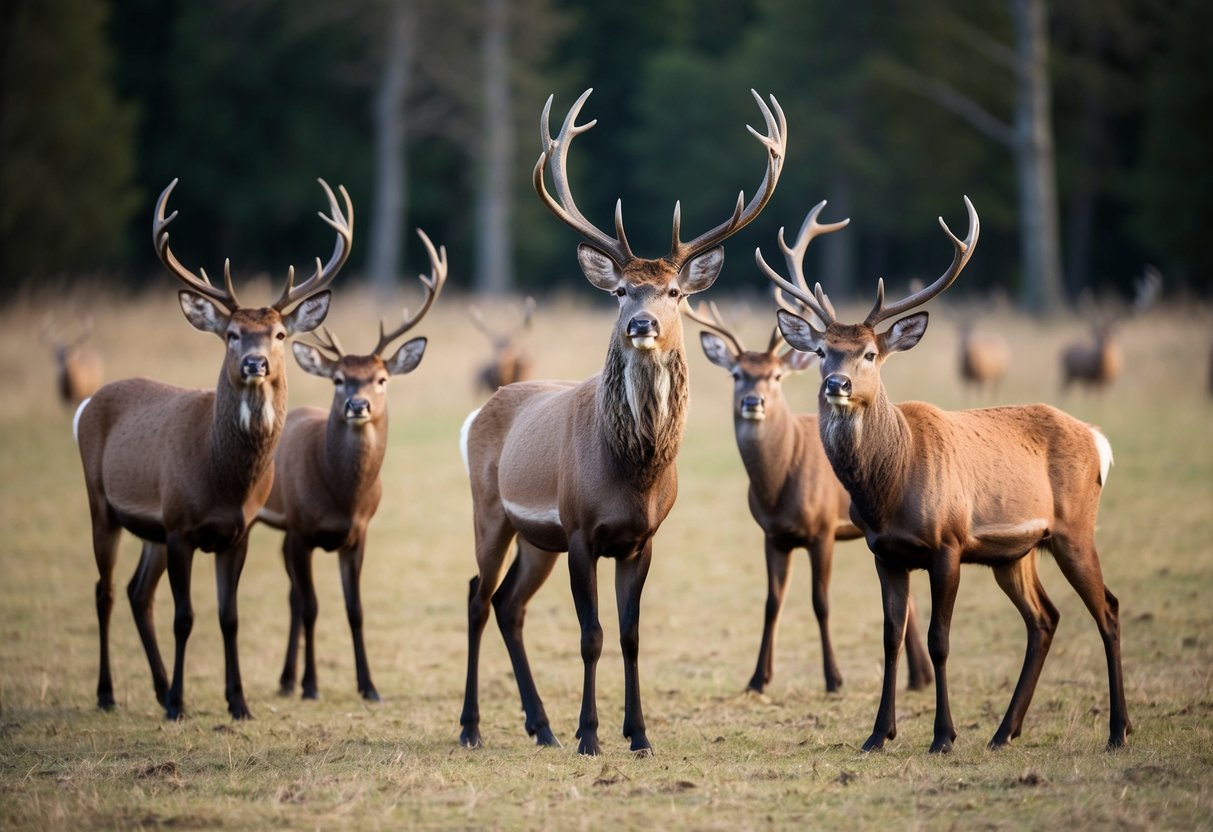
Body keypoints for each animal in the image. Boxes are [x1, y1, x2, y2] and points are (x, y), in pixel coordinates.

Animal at [75, 177, 352, 720]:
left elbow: (229, 616)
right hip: (102, 504)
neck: (222, 478)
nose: (254, 363)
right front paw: (180, 705)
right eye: (231, 333)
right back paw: (108, 693)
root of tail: (89, 401)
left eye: (280, 333)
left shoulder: (235, 532)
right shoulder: (181, 525)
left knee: (139, 593)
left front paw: (237, 702)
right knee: (106, 590)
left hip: (151, 531)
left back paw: (158, 687)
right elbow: (185, 617)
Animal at [256, 228, 445, 703]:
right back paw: (293, 681)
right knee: (296, 598)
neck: (341, 496)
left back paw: (285, 680)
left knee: (291, 595)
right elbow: (312, 606)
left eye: (382, 378)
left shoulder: (358, 534)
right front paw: (311, 685)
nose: (357, 406)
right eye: (338, 379)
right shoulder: (301, 528)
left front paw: (369, 687)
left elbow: (354, 608)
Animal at [458, 88, 786, 756]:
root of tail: (482, 409)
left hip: (537, 539)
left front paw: (639, 735)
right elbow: (592, 635)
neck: (633, 472)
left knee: (508, 604)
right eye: (620, 292)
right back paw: (474, 727)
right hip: (490, 510)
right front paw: (590, 735)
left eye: (675, 293)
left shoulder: (643, 537)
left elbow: (632, 636)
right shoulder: (583, 529)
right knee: (477, 598)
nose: (642, 325)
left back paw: (540, 727)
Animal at [683, 207, 932, 696]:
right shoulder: (772, 534)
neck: (778, 487)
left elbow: (821, 602)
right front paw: (758, 679)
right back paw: (918, 677)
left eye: (777, 376)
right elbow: (771, 602)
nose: (753, 402)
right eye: (736, 374)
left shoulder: (821, 529)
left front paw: (834, 678)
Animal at [760, 196, 1130, 753]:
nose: (835, 384)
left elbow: (938, 639)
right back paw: (1004, 731)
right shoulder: (885, 552)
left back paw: (1117, 730)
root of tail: (1096, 438)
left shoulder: (948, 543)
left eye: (870, 353)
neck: (888, 490)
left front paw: (942, 736)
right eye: (823, 350)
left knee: (1107, 609)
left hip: (1074, 529)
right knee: (1044, 618)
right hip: (1016, 553)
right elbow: (891, 637)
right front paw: (878, 735)